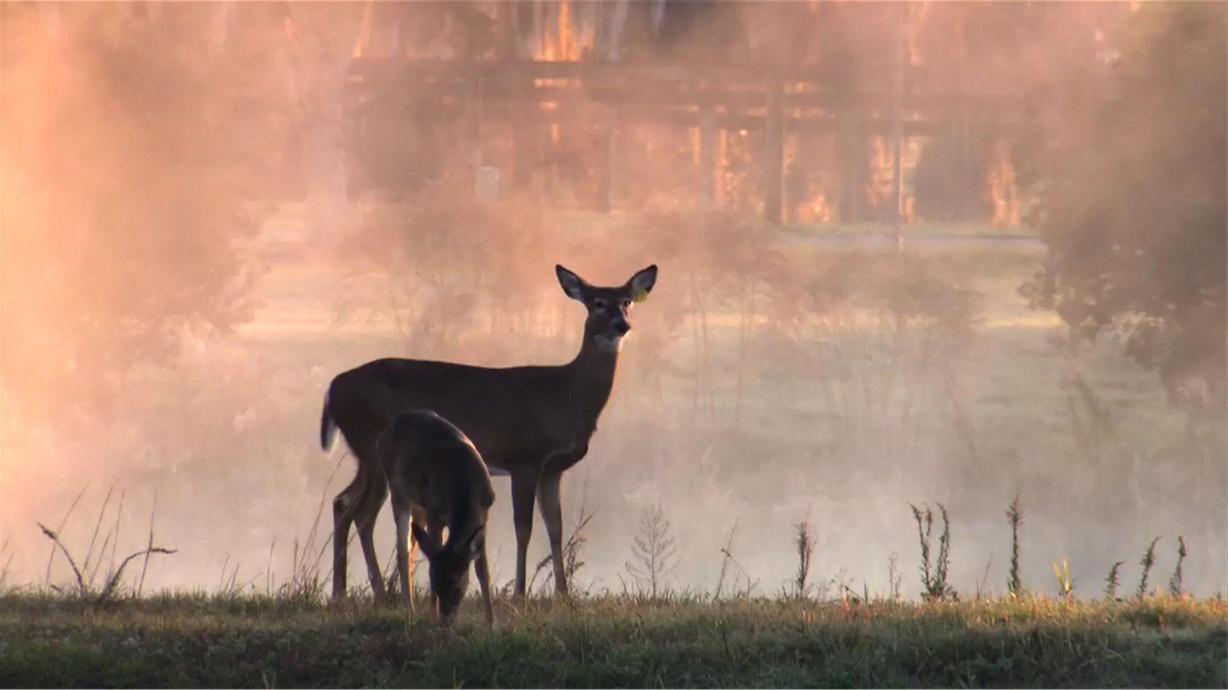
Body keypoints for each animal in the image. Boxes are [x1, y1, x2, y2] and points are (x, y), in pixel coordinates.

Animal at [320, 263, 658, 600]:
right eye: (598, 303)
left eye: (627, 301)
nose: (622, 325)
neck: (566, 394)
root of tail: (334, 388)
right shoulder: (524, 458)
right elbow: (524, 528)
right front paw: (519, 592)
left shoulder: (552, 469)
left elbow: (556, 527)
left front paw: (563, 594)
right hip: (372, 447)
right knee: (363, 514)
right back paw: (376, 591)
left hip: (366, 455)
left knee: (343, 503)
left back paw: (342, 591)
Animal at [378, 409, 494, 624]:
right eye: (436, 586)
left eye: (458, 587)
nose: (445, 621)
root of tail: (384, 434)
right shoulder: (434, 512)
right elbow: (434, 553)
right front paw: (431, 613)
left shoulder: (485, 512)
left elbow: (483, 569)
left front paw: (491, 621)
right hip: (398, 491)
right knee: (403, 549)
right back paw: (410, 609)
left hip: (419, 508)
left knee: (412, 545)